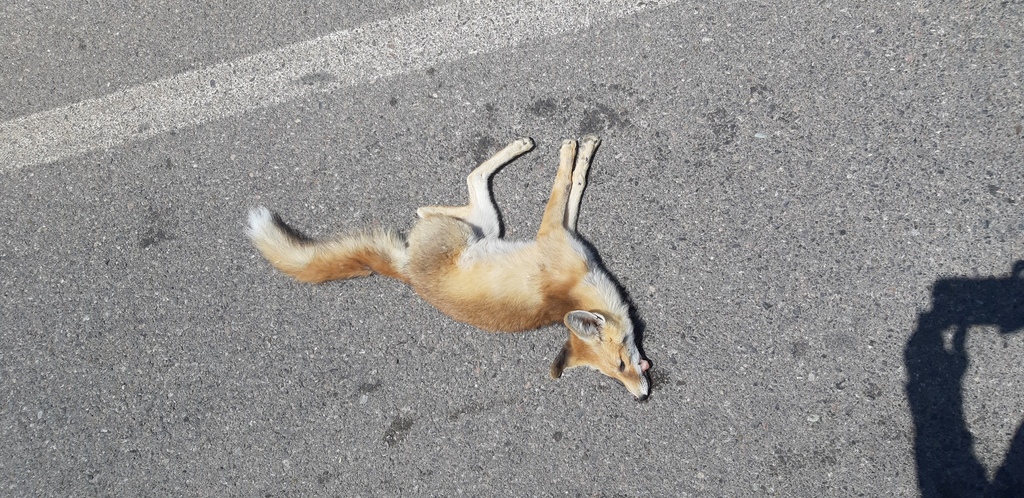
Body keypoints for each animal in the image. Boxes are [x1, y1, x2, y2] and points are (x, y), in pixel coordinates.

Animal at [246, 136, 651, 400]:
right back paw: (516, 149)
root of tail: (405, 272)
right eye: (618, 370)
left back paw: (425, 207)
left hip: (484, 226)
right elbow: (565, 183)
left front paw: (581, 155)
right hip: (476, 228)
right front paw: (574, 152)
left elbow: (574, 189)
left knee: (463, 190)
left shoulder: (566, 234)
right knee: (472, 179)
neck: (574, 291)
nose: (640, 397)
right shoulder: (553, 232)